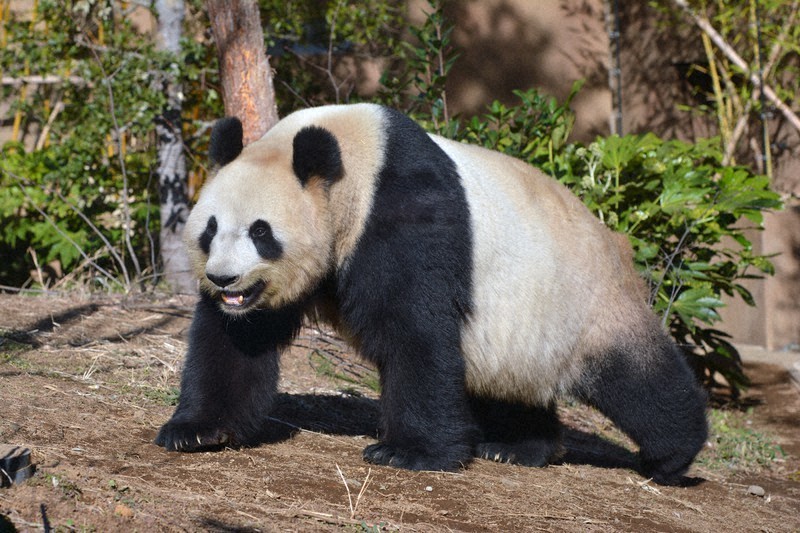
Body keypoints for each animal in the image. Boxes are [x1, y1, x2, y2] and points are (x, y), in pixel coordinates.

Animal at [155, 103, 708, 486]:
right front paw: (197, 430)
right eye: (209, 229)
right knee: (509, 385)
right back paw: (519, 447)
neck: (352, 161)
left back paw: (673, 455)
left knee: (637, 378)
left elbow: (415, 328)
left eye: (261, 232)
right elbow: (237, 341)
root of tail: (618, 246)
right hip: (520, 334)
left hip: (585, 302)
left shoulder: (402, 209)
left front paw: (408, 453)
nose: (224, 280)